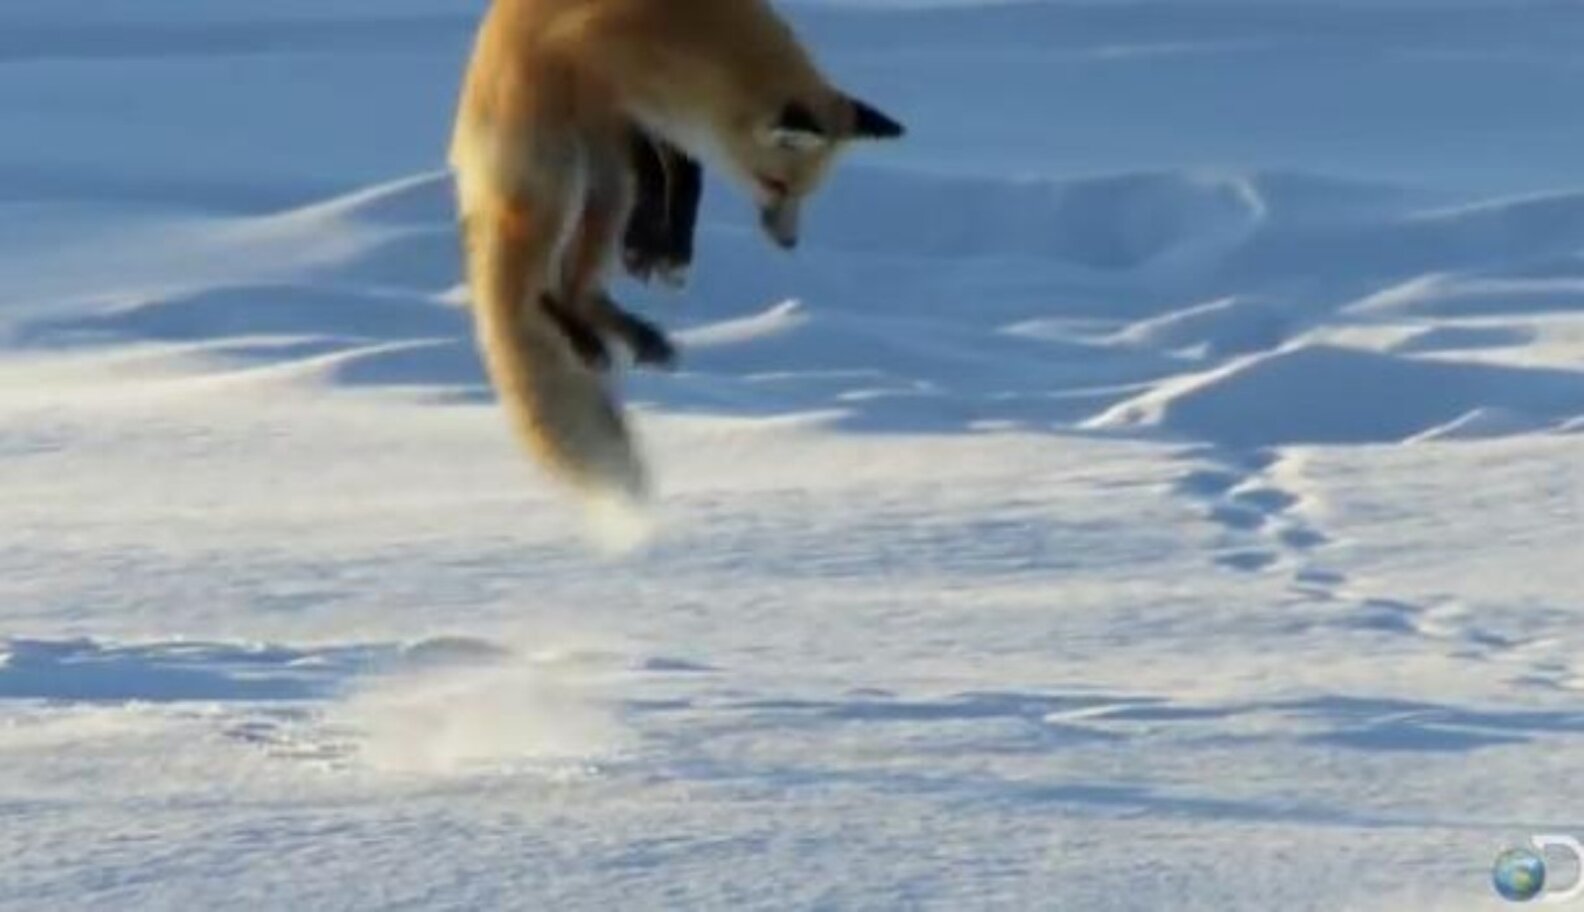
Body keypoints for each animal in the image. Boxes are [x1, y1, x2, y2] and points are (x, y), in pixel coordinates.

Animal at [450, 0, 904, 505]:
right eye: (774, 184)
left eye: (806, 193)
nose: (787, 243)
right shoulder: (595, 82)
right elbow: (652, 163)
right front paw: (654, 242)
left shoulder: (662, 121)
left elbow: (687, 176)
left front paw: (671, 248)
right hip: (575, 184)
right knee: (545, 288)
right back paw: (589, 340)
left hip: (597, 199)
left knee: (573, 285)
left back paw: (634, 338)